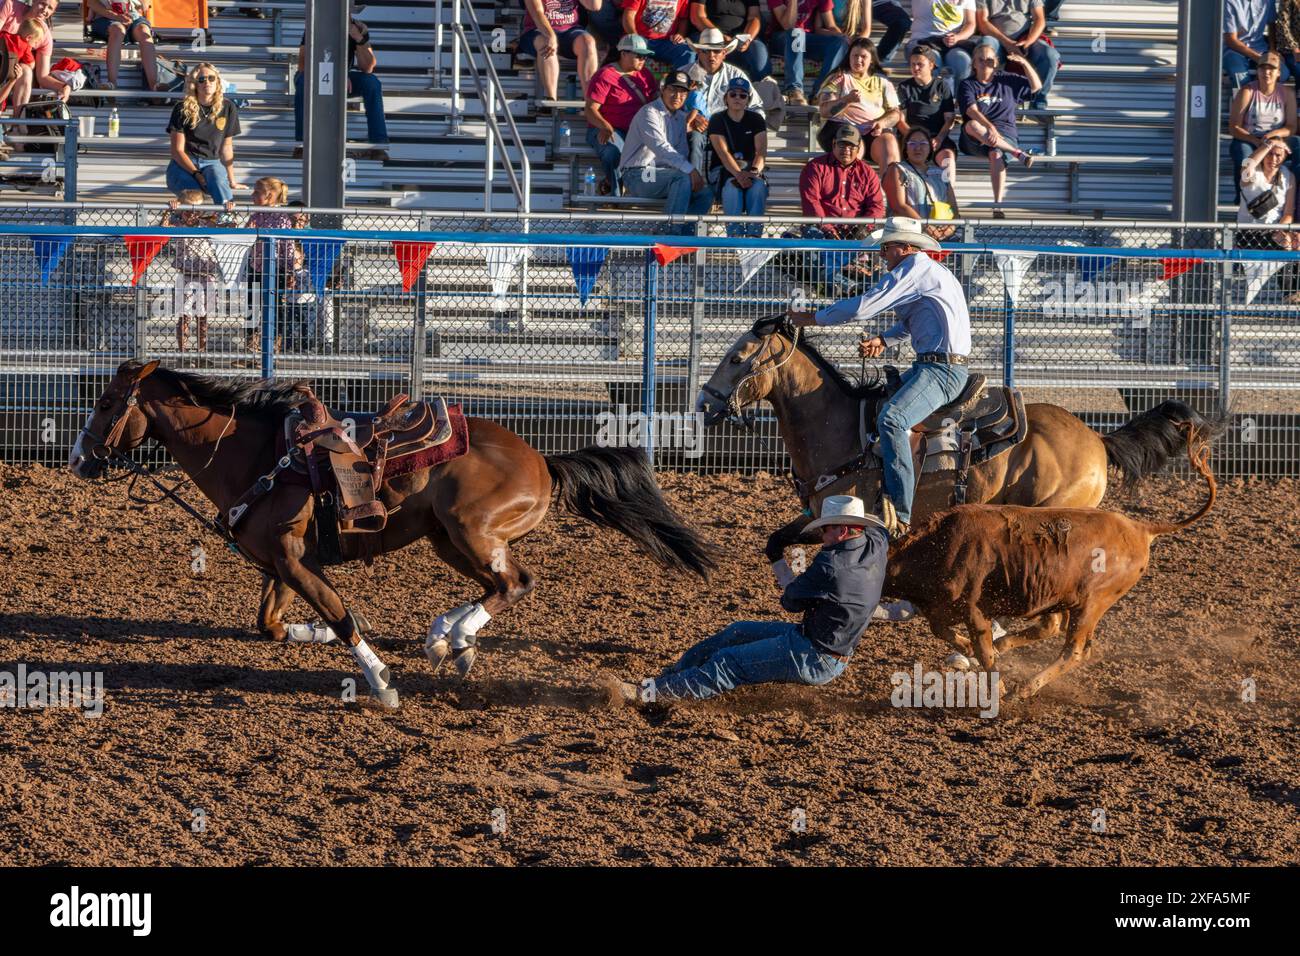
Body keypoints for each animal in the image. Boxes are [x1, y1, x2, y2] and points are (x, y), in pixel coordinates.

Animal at [68, 360, 716, 710]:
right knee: (498, 586)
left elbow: (340, 614)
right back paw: (447, 640)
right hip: (446, 539)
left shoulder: (294, 560)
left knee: (513, 583)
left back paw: (451, 639)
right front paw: (313, 637)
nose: (76, 460)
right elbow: (273, 623)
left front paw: (380, 683)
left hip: (470, 531)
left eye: (106, 402)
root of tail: (544, 459)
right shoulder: (279, 563)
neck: (257, 457)